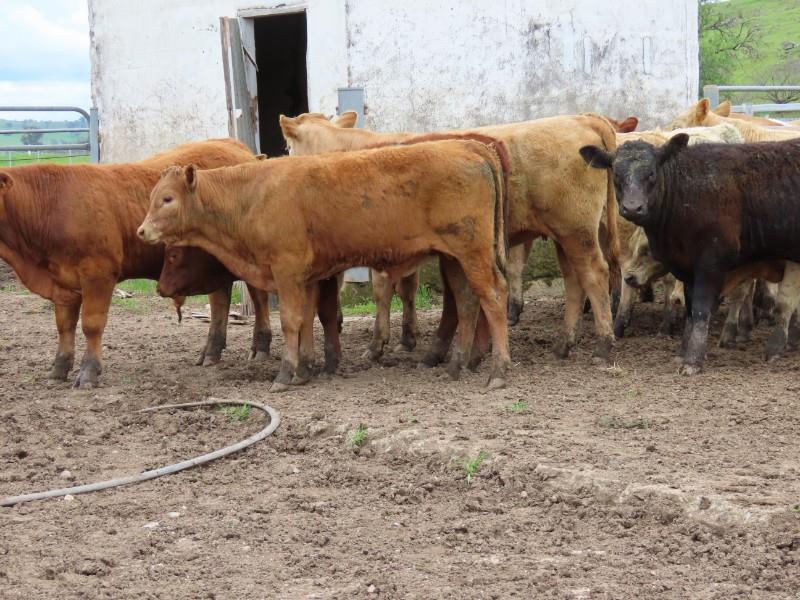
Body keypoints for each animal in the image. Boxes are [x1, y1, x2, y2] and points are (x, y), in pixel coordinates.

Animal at [0, 139, 255, 388]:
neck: (51, 204)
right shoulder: (62, 283)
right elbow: (64, 326)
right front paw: (58, 369)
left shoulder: (98, 273)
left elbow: (91, 324)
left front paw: (89, 371)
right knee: (219, 300)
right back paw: (211, 352)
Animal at [280, 111, 621, 367]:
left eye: (287, 148)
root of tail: (584, 119)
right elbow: (414, 291)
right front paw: (412, 339)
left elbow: (385, 291)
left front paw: (380, 345)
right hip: (566, 235)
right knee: (575, 282)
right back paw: (564, 344)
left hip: (576, 232)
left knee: (595, 276)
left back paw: (604, 344)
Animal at [580, 134, 800, 374]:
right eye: (616, 174)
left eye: (651, 173)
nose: (632, 208)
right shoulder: (686, 269)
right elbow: (690, 311)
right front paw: (683, 352)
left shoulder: (711, 264)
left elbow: (701, 310)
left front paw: (693, 360)